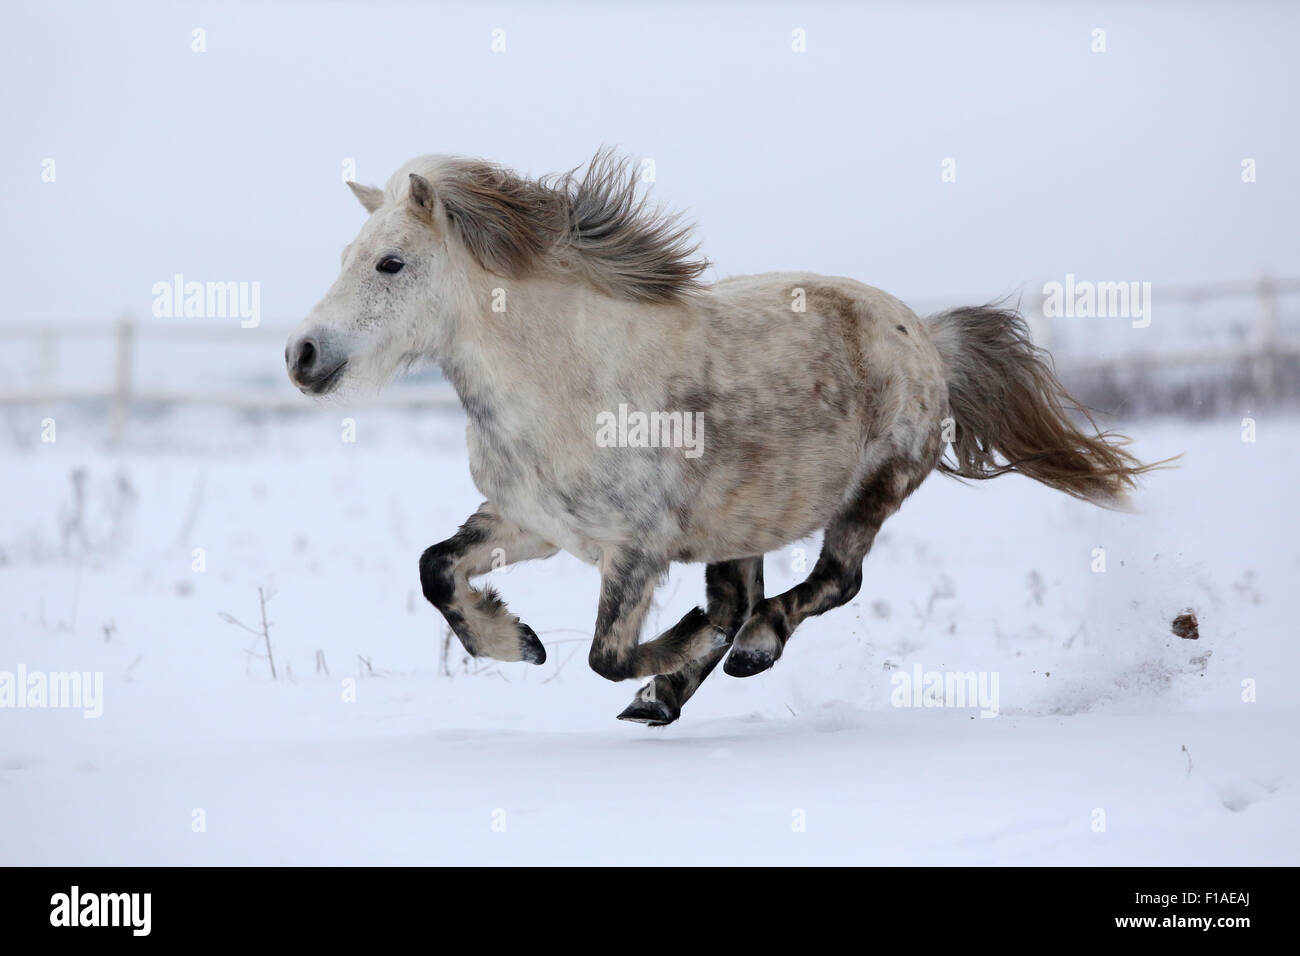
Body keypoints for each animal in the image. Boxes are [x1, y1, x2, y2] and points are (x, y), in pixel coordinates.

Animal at [286, 150, 1159, 726]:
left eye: (391, 264)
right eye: (350, 256)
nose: (302, 356)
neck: (565, 379)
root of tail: (927, 335)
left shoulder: (636, 550)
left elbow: (608, 654)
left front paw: (663, 652)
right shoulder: (531, 523)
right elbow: (437, 569)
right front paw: (518, 643)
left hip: (869, 495)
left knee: (827, 586)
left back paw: (742, 655)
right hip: (744, 521)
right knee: (745, 596)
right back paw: (674, 690)